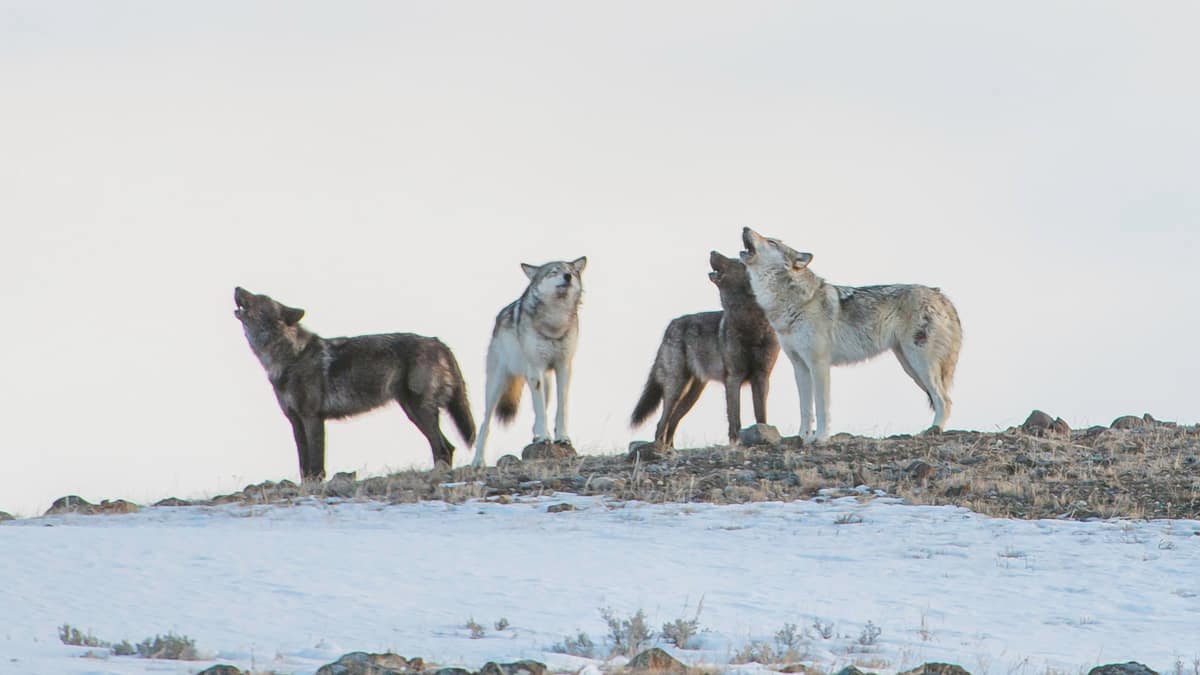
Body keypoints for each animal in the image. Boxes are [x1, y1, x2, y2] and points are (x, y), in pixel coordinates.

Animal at [233, 287, 475, 480]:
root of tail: (437, 342)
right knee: (447, 448)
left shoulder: (312, 418)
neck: (291, 357)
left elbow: (316, 464)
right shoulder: (295, 421)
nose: (237, 287)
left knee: (443, 448)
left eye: (259, 298)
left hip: (420, 411)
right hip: (413, 413)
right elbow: (304, 466)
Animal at [471, 257, 587, 468]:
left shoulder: (564, 367)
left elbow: (560, 407)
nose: (567, 276)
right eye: (554, 272)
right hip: (497, 386)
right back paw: (477, 461)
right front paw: (543, 437)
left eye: (570, 272)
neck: (555, 322)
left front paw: (562, 437)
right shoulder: (536, 368)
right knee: (485, 423)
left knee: (540, 408)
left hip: (545, 382)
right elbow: (540, 410)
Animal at [630, 252, 780, 448]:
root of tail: (672, 324)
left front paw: (763, 435)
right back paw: (660, 449)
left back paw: (670, 449)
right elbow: (735, 419)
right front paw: (735, 444)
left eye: (738, 262)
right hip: (676, 389)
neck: (750, 326)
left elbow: (761, 416)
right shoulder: (733, 377)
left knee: (672, 422)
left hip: (693, 394)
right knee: (661, 423)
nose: (712, 252)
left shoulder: (762, 377)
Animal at [739, 228, 962, 442]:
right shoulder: (800, 367)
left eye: (771, 242)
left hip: (921, 363)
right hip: (910, 366)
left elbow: (821, 406)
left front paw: (821, 438)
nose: (745, 227)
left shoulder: (819, 364)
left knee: (945, 400)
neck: (794, 302)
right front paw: (802, 437)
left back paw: (933, 431)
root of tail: (940, 295)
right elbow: (805, 408)